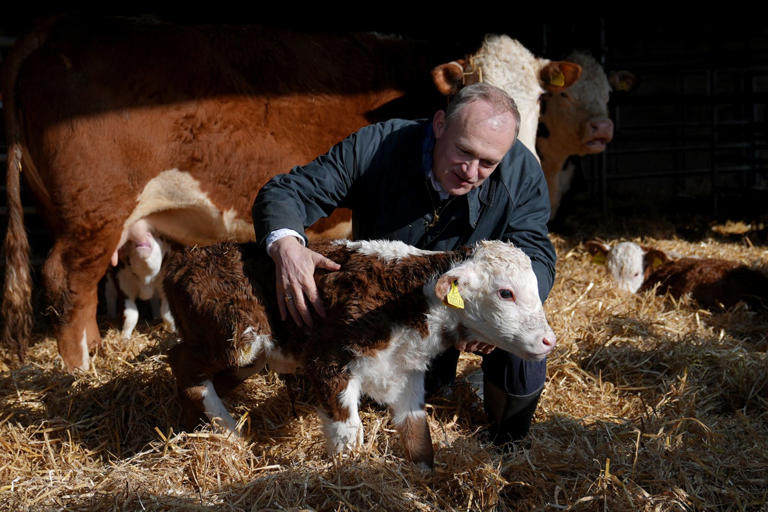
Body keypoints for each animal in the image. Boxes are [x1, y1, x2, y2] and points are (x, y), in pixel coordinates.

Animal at [163, 239, 556, 470]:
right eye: (505, 293)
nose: (548, 340)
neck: (409, 299)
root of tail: (184, 258)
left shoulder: (406, 372)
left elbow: (418, 437)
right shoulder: (329, 364)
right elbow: (349, 433)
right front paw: (350, 474)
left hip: (248, 353)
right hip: (235, 338)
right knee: (182, 364)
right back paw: (230, 434)